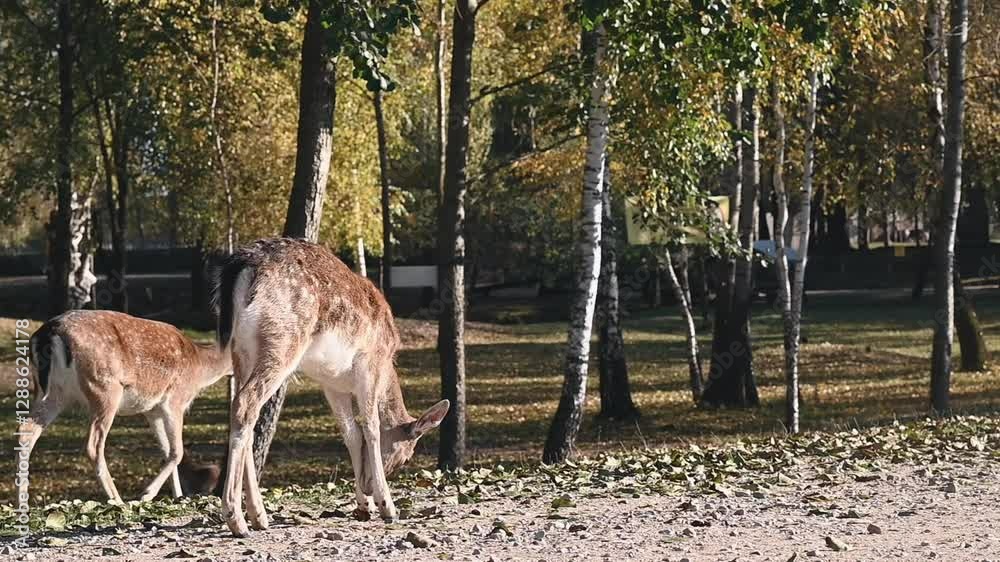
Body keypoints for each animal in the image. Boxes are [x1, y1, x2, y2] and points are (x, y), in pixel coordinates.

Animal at [16, 310, 231, 504]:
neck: (200, 368)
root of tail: (47, 333)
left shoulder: (152, 410)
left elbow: (166, 451)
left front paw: (177, 496)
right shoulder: (175, 400)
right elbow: (177, 451)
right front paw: (147, 494)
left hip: (49, 393)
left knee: (26, 430)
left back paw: (22, 506)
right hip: (104, 389)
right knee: (94, 445)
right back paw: (117, 500)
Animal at [214, 237, 449, 537]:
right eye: (407, 457)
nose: (369, 486)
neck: (389, 364)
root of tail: (245, 265)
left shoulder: (332, 384)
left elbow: (351, 435)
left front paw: (364, 506)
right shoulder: (369, 365)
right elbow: (371, 427)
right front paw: (387, 506)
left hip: (241, 351)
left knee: (243, 410)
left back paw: (259, 516)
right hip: (283, 340)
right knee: (245, 404)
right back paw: (237, 520)